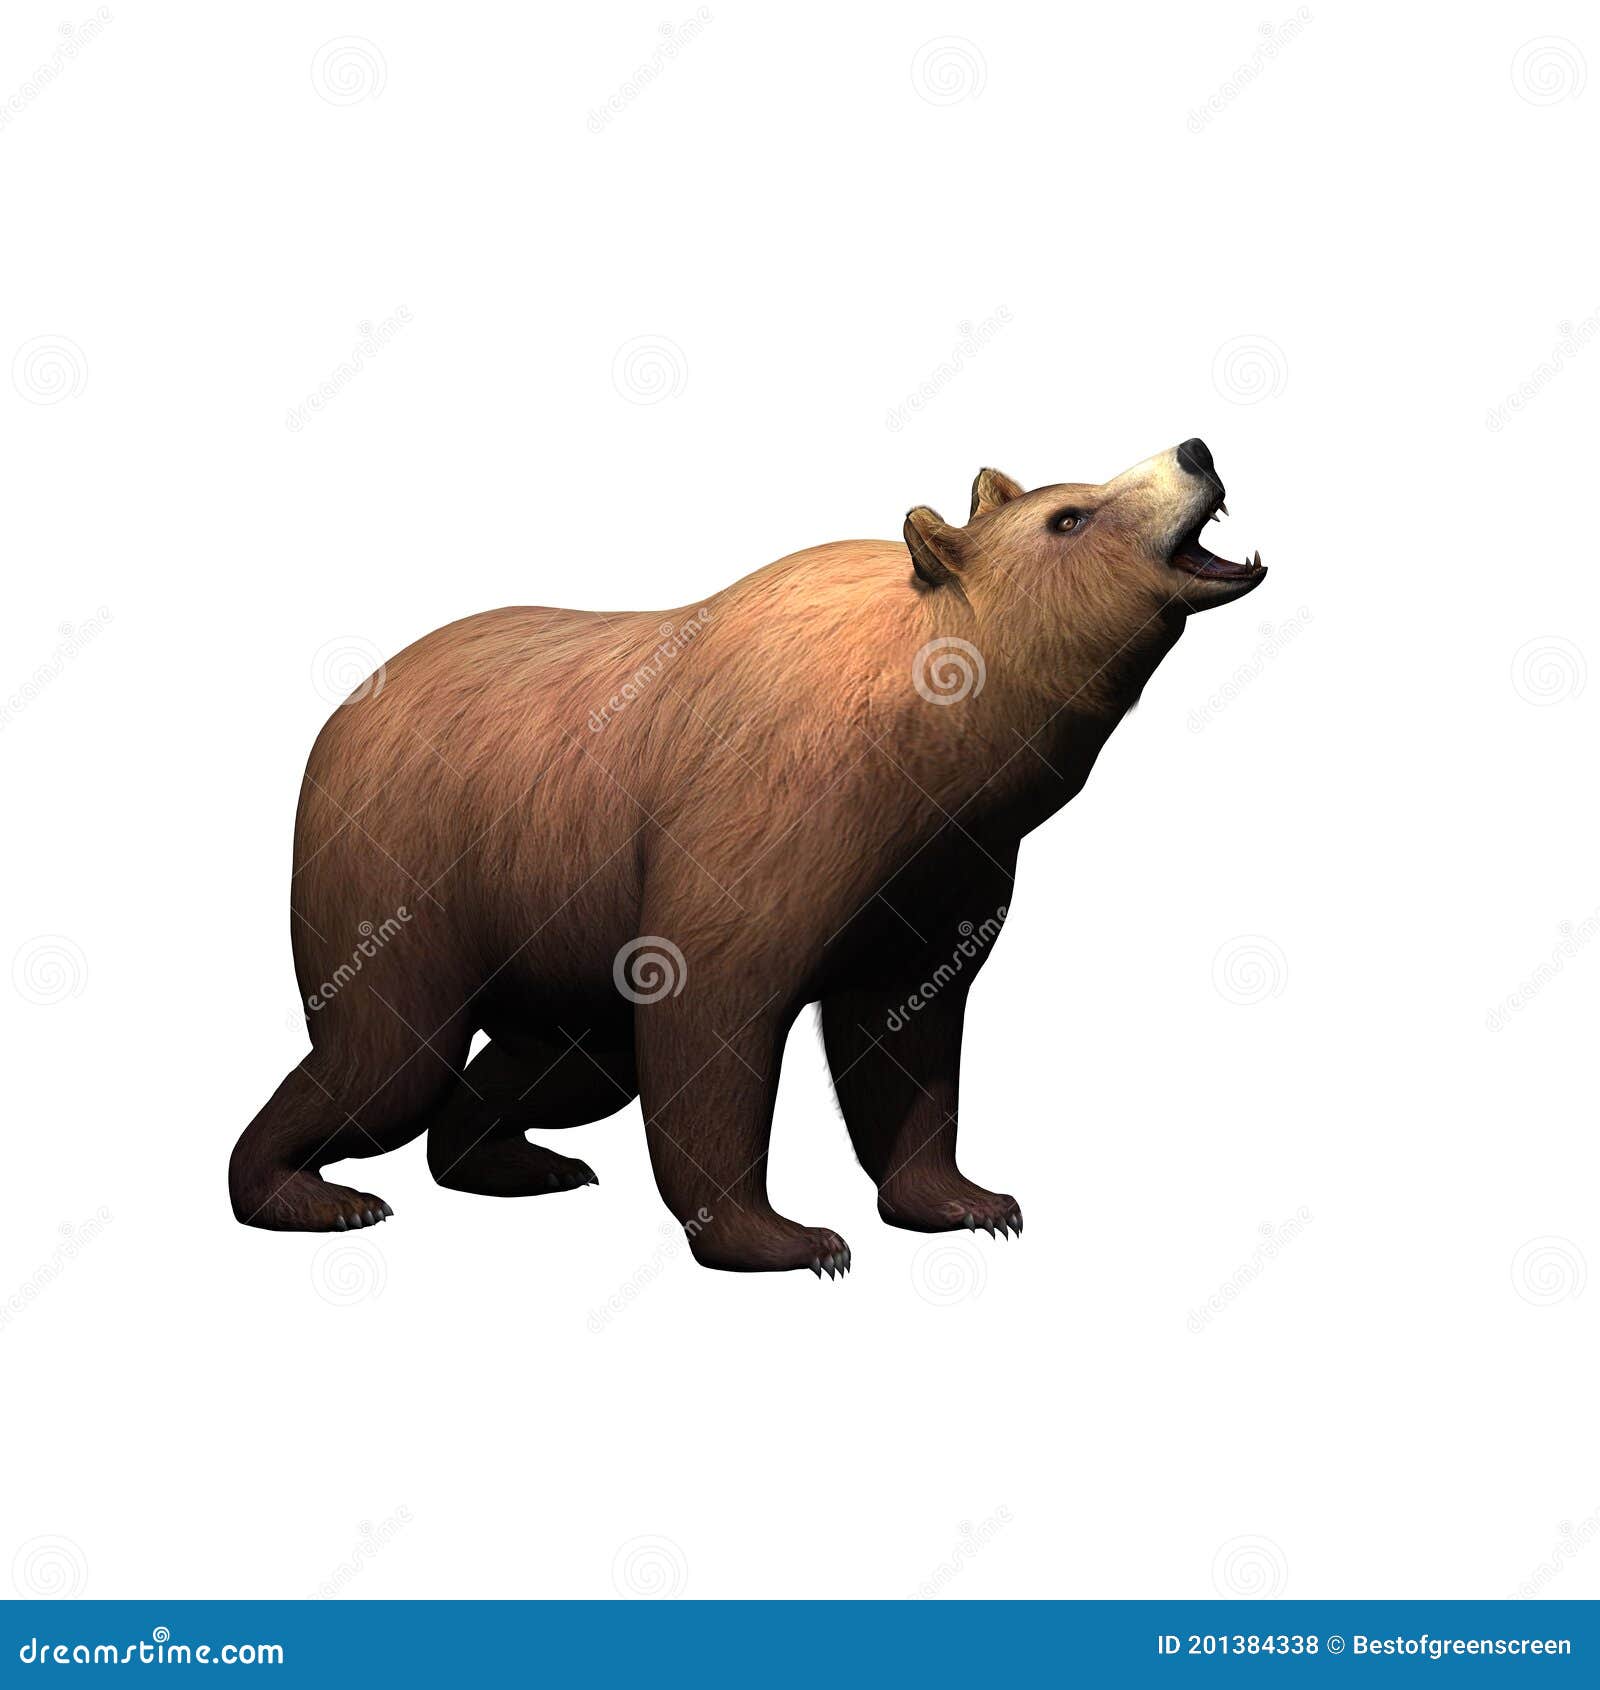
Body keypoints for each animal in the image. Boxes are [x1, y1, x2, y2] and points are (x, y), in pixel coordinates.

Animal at [230, 437, 1265, 1275]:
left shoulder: (943, 868)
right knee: (389, 1052)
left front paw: (969, 1200)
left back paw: (516, 1159)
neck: (930, 749)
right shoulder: (762, 814)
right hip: (402, 869)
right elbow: (712, 1017)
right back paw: (308, 1191)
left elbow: (908, 1030)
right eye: (1071, 514)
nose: (1197, 450)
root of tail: (344, 712)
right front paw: (791, 1238)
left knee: (556, 1063)